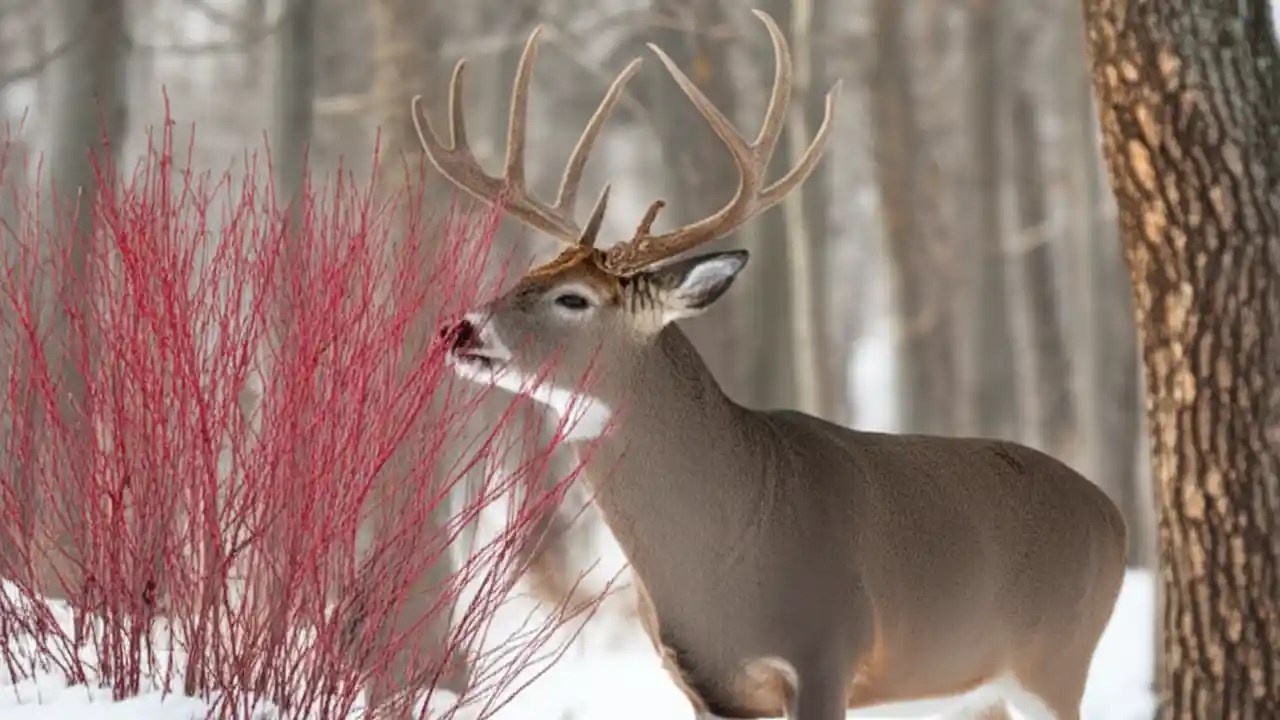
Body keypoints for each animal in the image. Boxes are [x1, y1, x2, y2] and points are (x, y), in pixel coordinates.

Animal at [413, 10, 1127, 720]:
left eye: (573, 298)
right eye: (528, 273)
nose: (457, 328)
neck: (722, 558)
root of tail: (1114, 517)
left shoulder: (827, 649)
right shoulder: (701, 683)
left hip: (1054, 662)